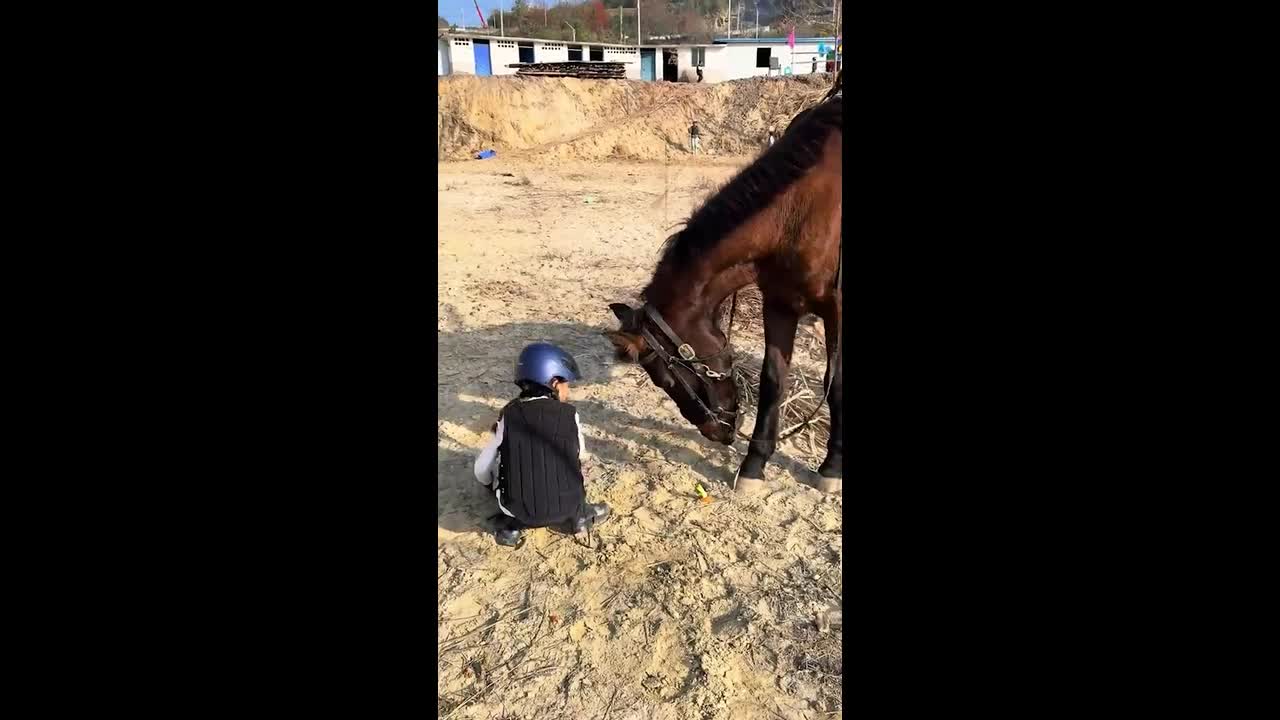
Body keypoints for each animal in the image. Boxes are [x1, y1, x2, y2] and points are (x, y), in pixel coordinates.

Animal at [605, 85, 842, 493]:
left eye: (668, 380)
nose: (718, 432)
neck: (805, 210)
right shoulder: (779, 302)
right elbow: (773, 380)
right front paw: (754, 464)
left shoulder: (840, 309)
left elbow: (837, 382)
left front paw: (833, 466)